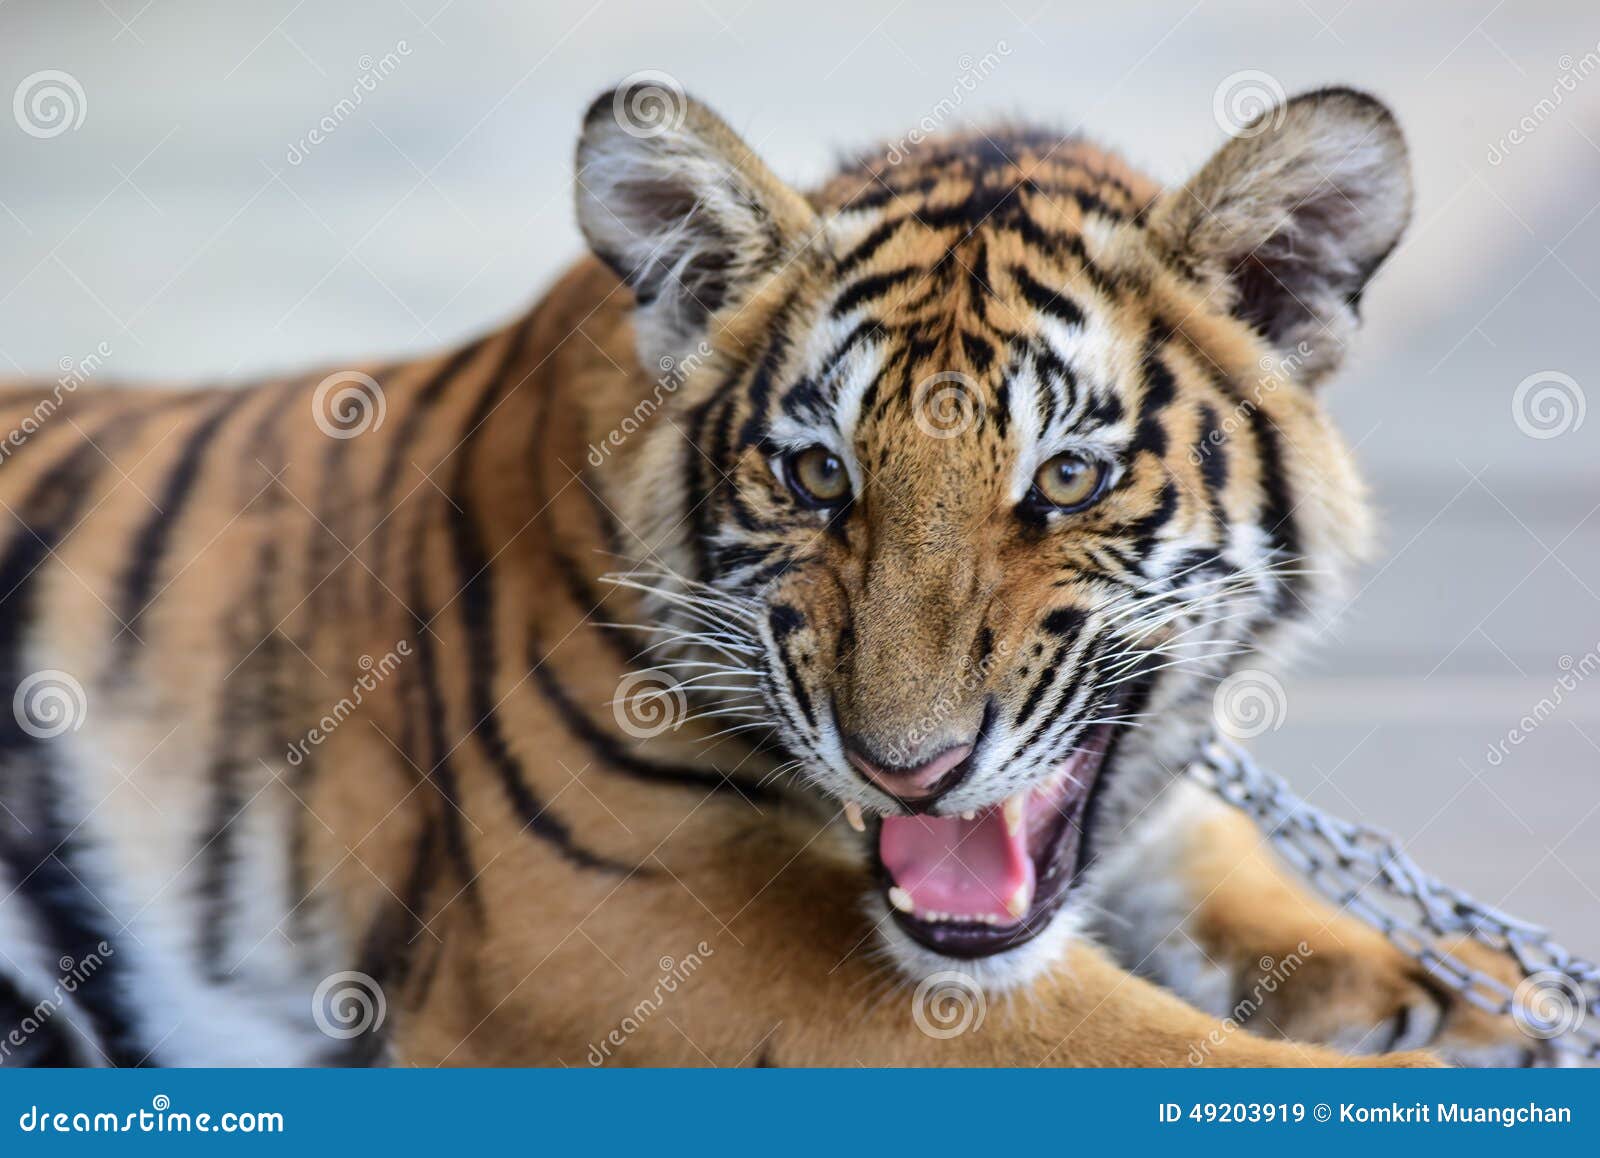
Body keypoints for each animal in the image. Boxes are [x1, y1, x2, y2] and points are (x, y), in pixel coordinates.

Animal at [0, 82, 1544, 1067]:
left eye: (1066, 479)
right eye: (815, 477)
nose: (909, 772)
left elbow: (1260, 879)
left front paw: (1481, 992)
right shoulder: (622, 925)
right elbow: (1138, 1049)